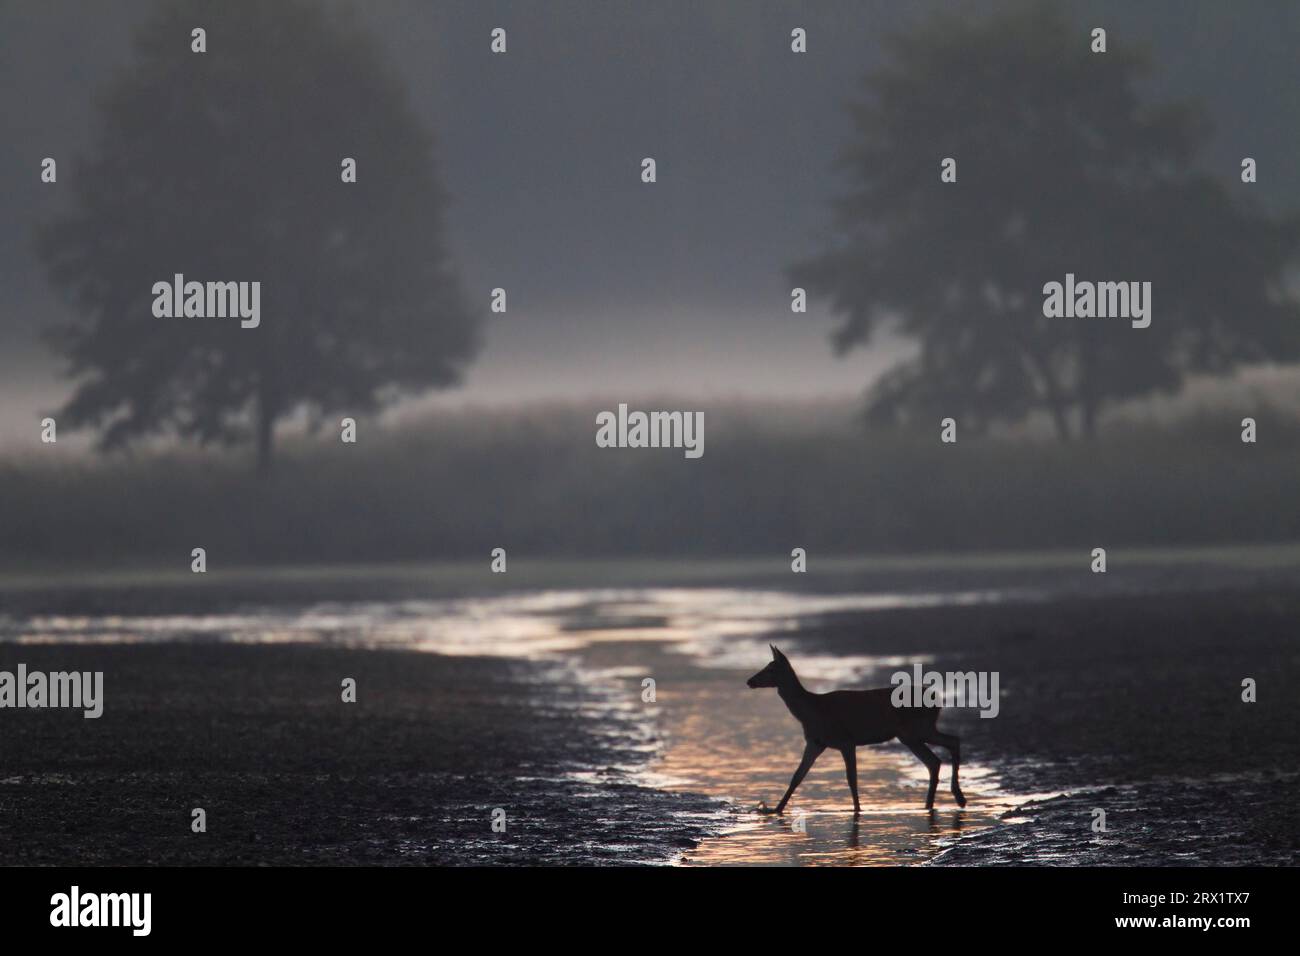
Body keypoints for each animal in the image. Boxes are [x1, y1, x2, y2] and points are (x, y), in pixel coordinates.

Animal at [746, 645, 965, 814]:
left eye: (771, 668)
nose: (750, 681)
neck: (814, 711)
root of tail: (937, 700)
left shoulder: (846, 740)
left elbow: (852, 778)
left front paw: (858, 810)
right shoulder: (815, 742)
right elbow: (796, 776)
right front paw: (775, 810)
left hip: (918, 729)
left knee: (951, 743)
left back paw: (958, 798)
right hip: (910, 735)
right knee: (935, 761)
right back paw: (930, 805)